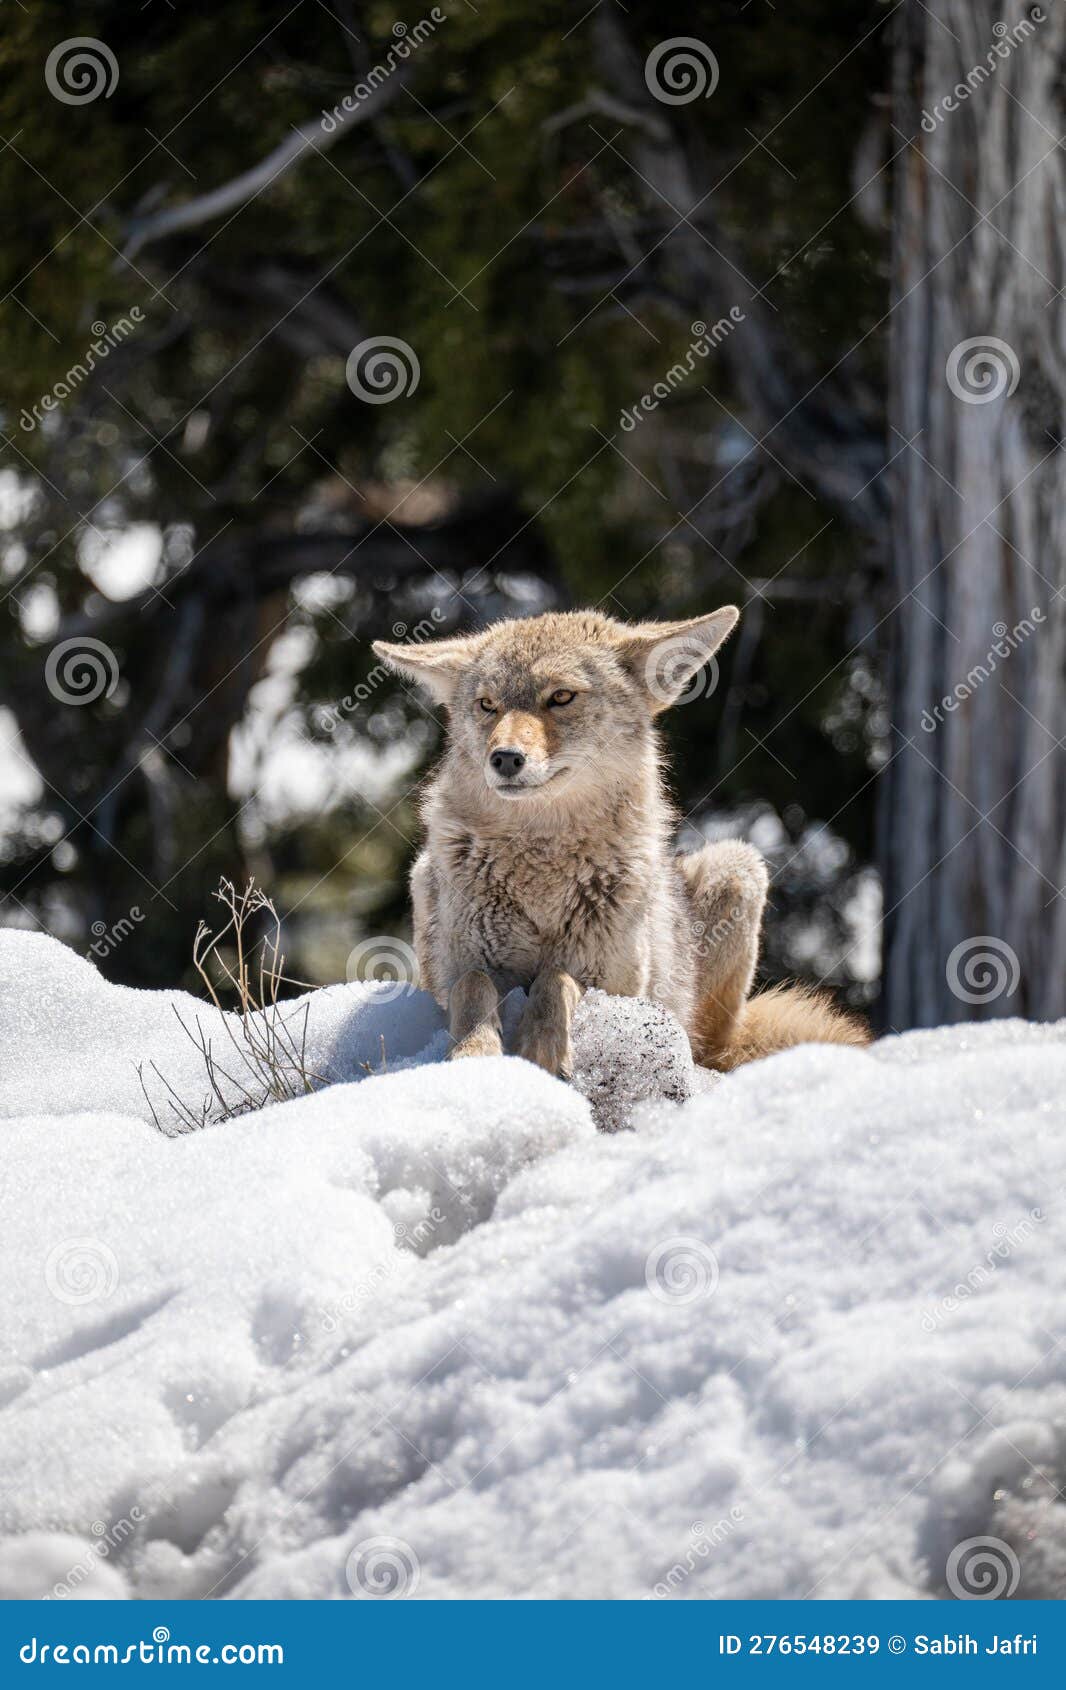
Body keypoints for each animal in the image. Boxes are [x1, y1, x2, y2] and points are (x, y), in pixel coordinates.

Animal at [371, 607, 868, 1082]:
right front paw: (476, 1056)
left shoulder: (613, 986)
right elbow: (472, 986)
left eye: (561, 697)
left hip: (739, 866)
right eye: (487, 705)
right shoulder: (458, 971)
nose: (505, 758)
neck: (541, 866)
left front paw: (543, 1049)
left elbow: (556, 978)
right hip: (421, 873)